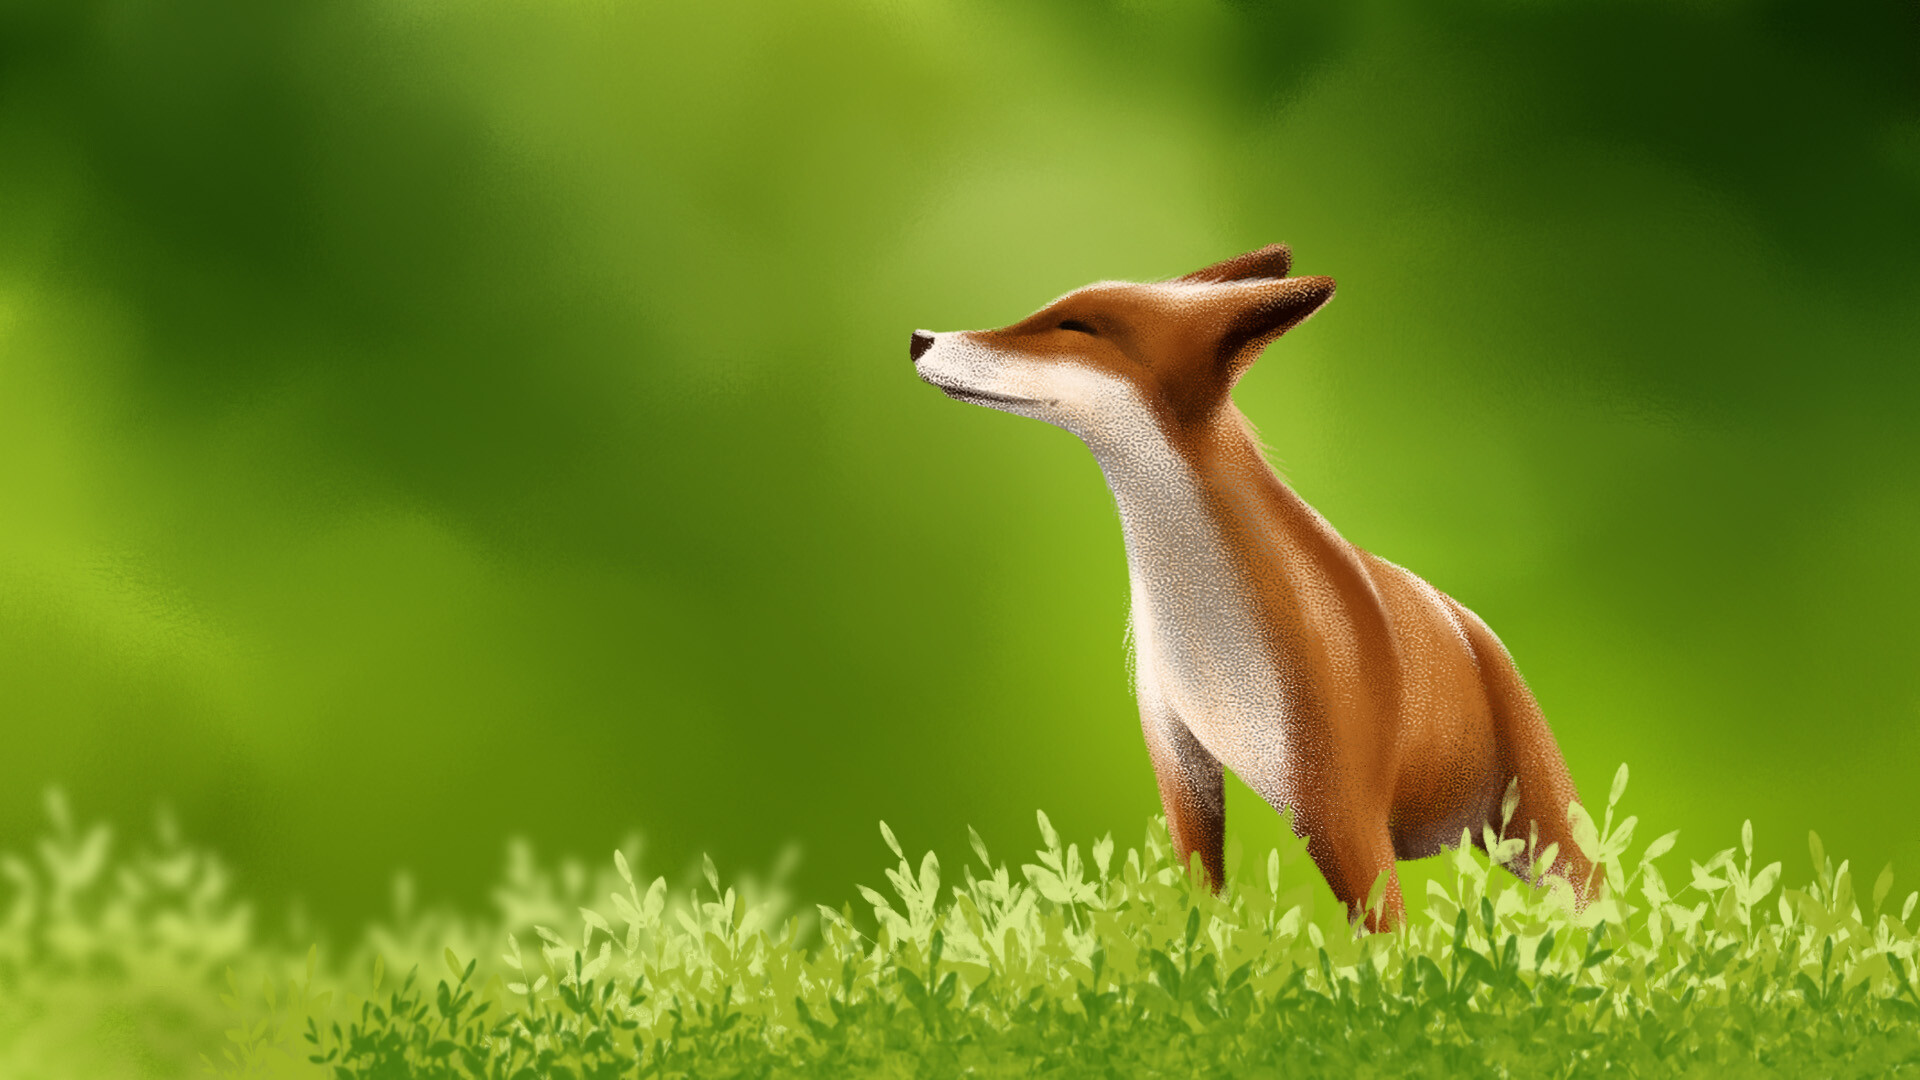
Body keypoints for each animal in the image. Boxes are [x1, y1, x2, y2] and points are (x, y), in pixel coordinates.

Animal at [910, 244, 1595, 930]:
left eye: (1076, 326)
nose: (920, 338)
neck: (1203, 623)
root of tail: (1478, 632)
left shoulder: (1338, 807)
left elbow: (1384, 940)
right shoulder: (1182, 765)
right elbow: (1201, 902)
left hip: (1545, 836)